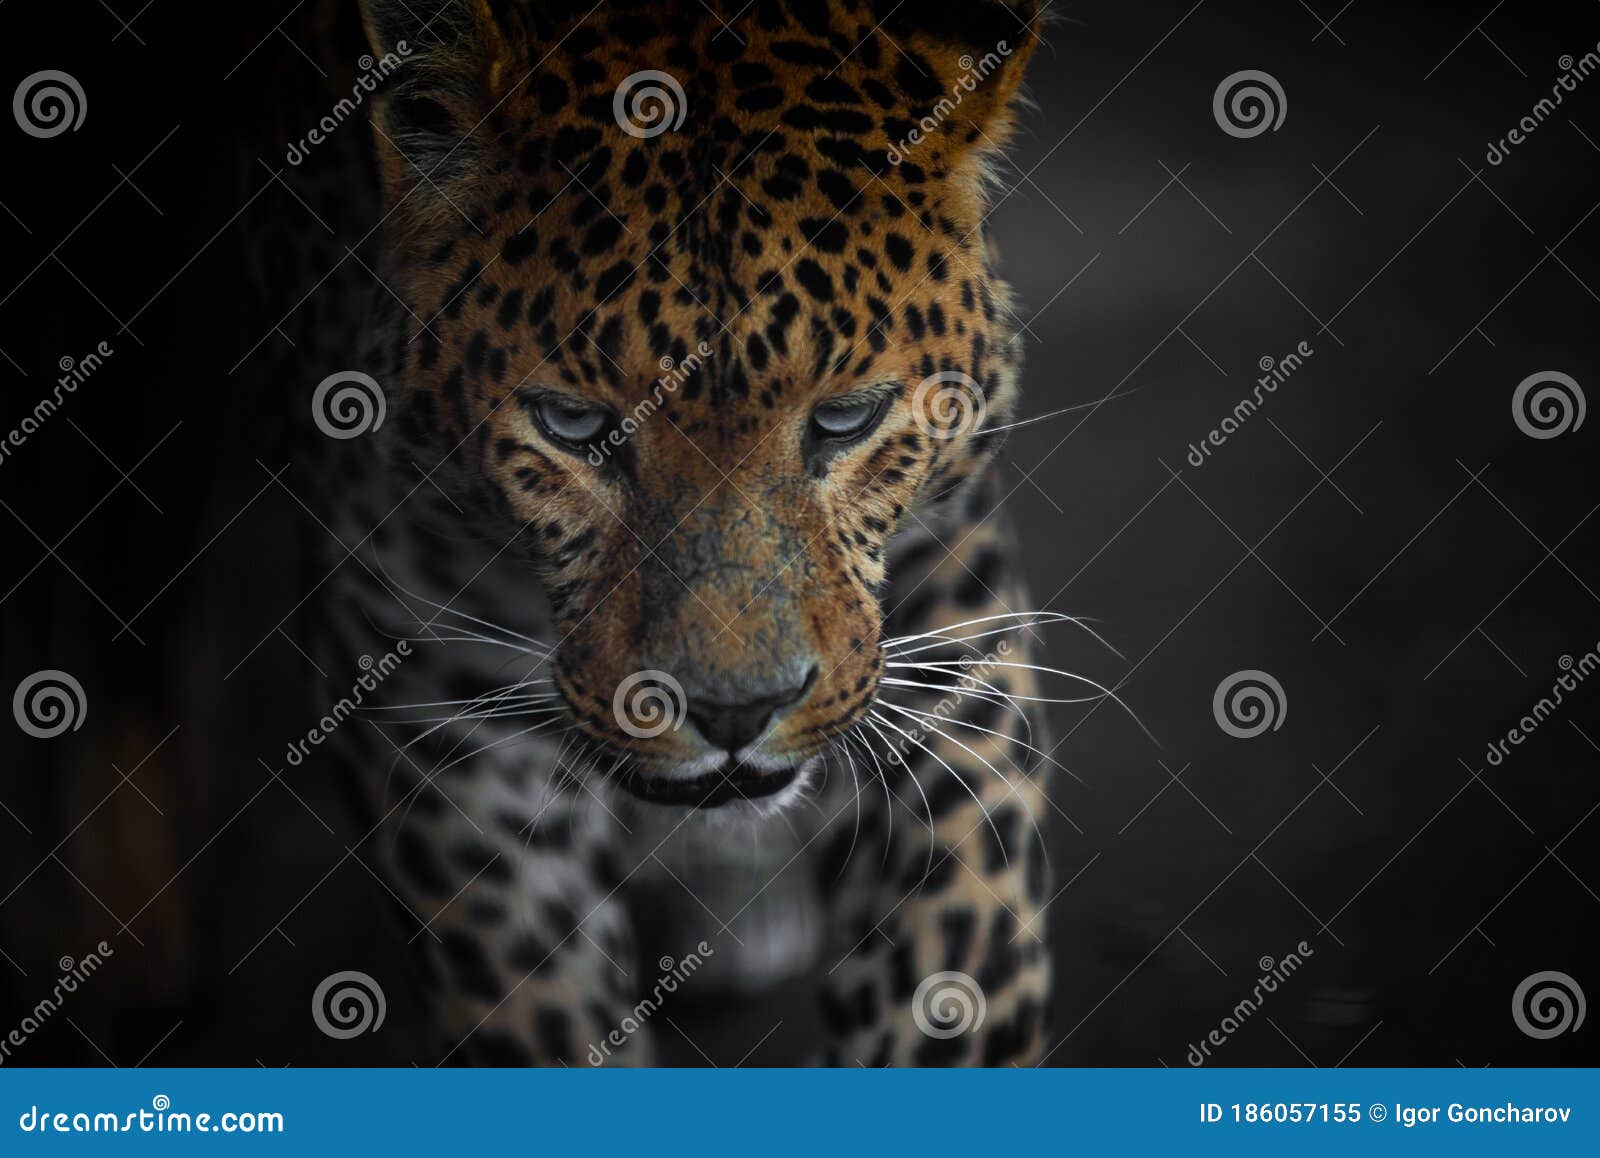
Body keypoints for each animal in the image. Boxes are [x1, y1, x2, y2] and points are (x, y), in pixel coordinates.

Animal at [273, 0, 1070, 1066]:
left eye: (847, 417)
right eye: (573, 425)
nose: (737, 713)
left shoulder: (944, 609)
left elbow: (956, 959)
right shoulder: (431, 680)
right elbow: (535, 998)